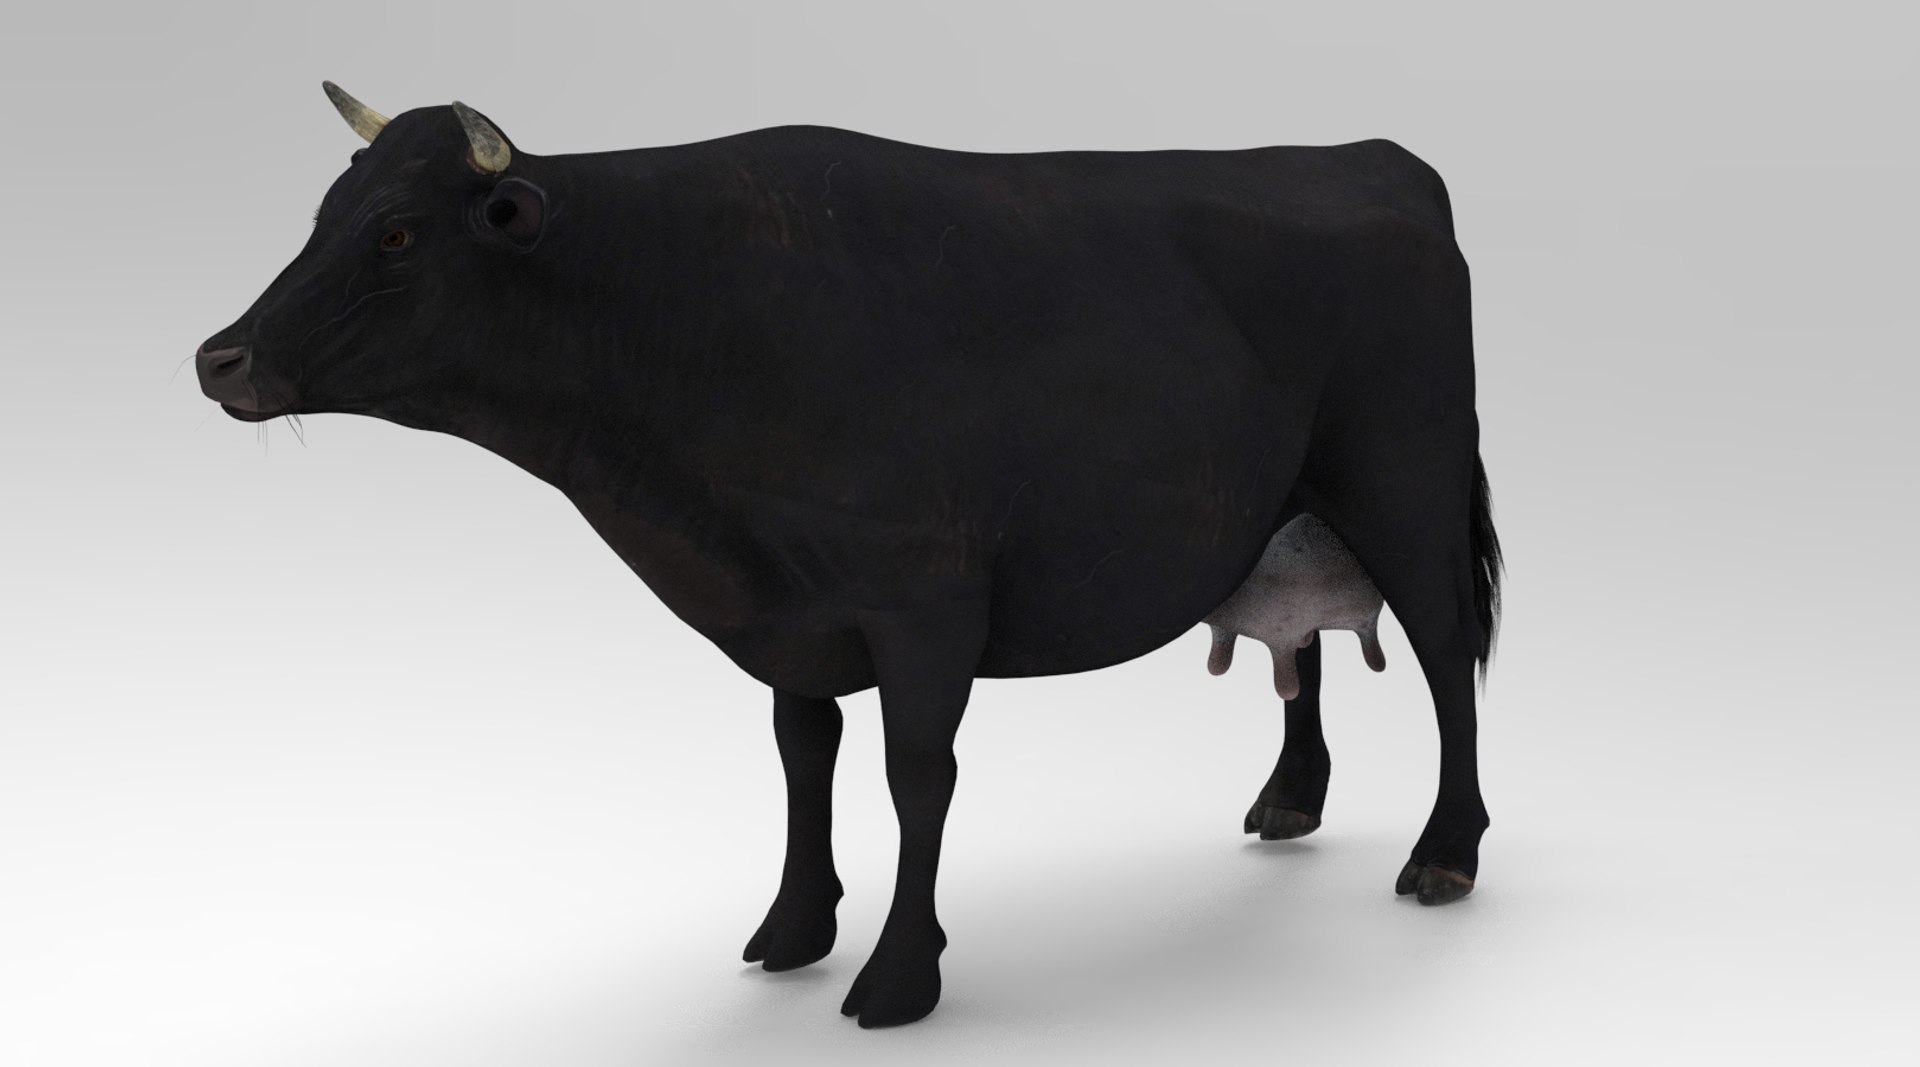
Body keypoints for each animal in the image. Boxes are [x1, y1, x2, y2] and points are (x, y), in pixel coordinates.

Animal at [194, 83, 1503, 1028]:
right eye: (324, 217)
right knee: (1303, 651)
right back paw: (1289, 799)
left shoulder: (925, 603)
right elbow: (802, 757)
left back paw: (1445, 853)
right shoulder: (791, 611)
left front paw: (898, 972)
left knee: (1449, 656)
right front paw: (793, 928)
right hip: (1285, 503)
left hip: (1407, 482)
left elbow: (915, 777)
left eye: (398, 234)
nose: (221, 357)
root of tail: (1371, 153)